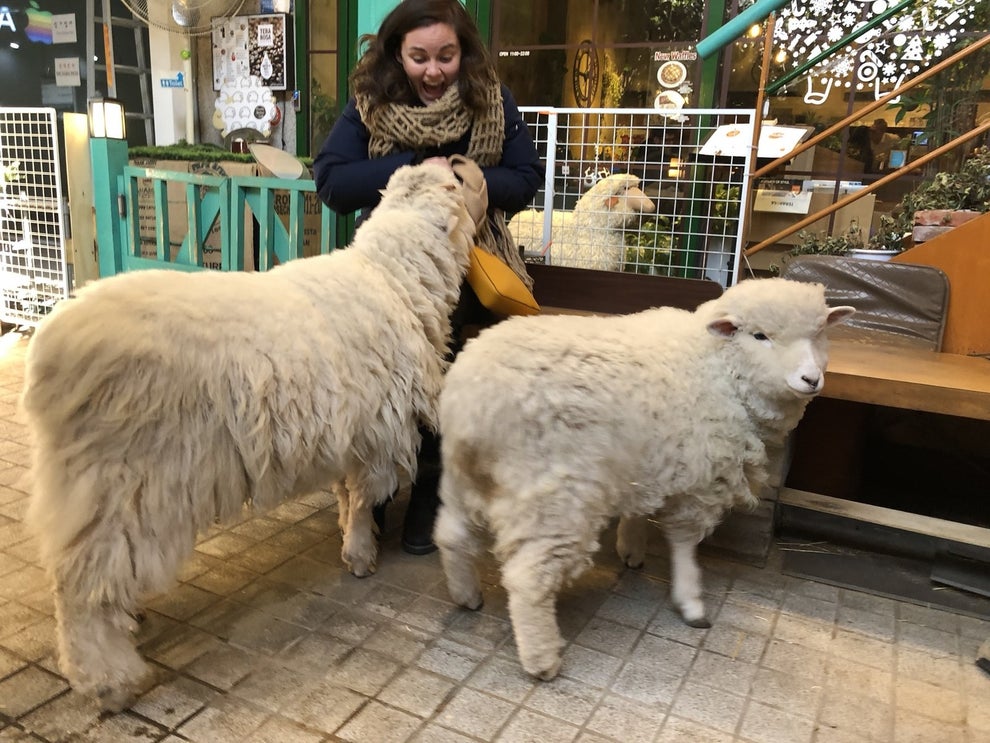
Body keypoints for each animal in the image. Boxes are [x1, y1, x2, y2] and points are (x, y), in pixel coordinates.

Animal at [20, 161, 476, 712]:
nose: (455, 161)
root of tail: (47, 351)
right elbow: (365, 497)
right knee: (81, 584)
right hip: (121, 483)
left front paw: (350, 538)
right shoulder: (377, 432)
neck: (390, 278)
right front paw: (362, 552)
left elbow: (347, 492)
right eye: (455, 188)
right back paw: (109, 680)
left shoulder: (347, 429)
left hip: (91, 486)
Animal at [434, 278, 854, 680]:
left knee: (451, 536)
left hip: (464, 477)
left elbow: (638, 507)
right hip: (554, 493)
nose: (810, 379)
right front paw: (690, 599)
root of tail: (474, 399)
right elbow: (684, 542)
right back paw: (541, 659)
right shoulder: (701, 477)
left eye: (819, 333)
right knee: (527, 577)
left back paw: (466, 595)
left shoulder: (647, 458)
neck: (713, 364)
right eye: (759, 336)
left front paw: (632, 547)